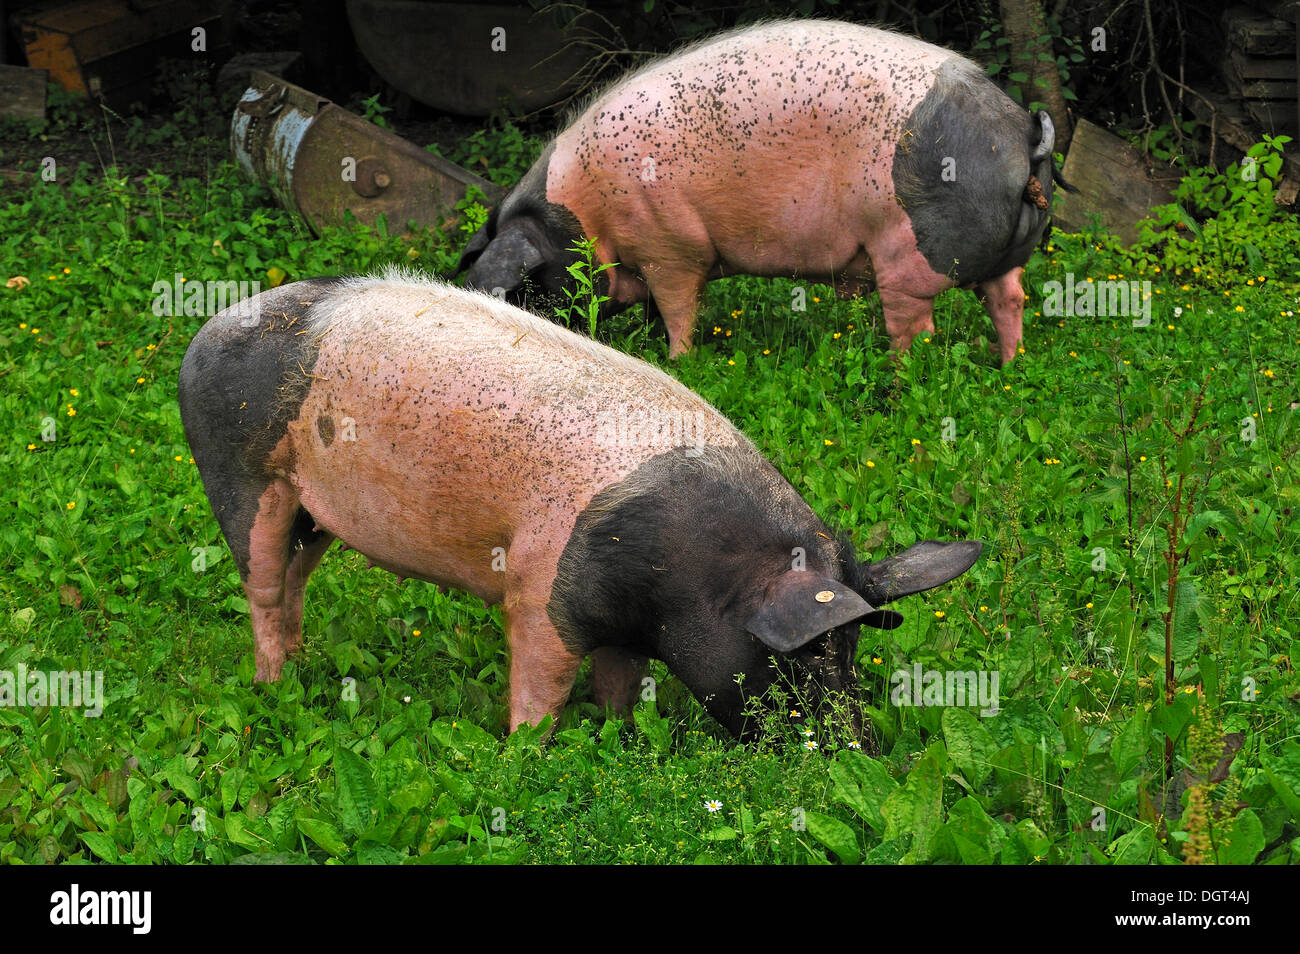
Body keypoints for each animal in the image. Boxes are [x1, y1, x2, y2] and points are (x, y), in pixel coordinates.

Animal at [178, 272, 982, 741]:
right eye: (805, 657)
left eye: (853, 650)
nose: (856, 751)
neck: (693, 576)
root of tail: (212, 325)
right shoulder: (541, 590)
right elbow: (543, 685)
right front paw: (525, 757)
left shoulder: (626, 623)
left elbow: (620, 682)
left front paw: (619, 742)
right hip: (238, 473)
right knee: (259, 585)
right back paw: (273, 686)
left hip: (314, 513)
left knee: (293, 580)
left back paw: (303, 666)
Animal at [458, 19, 1058, 365]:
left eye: (525, 287)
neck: (585, 218)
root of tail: (1022, 137)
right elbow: (656, 308)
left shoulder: (671, 246)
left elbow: (678, 306)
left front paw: (675, 362)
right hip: (1007, 252)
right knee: (1009, 297)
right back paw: (1007, 366)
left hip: (910, 251)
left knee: (917, 325)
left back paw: (895, 376)